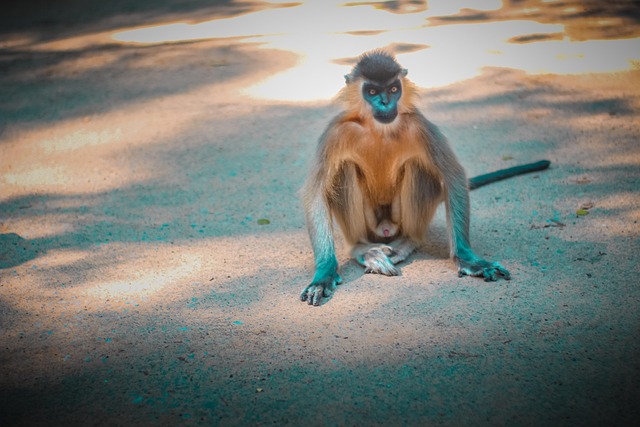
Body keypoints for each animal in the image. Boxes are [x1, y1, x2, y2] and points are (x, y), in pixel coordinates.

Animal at [300, 50, 550, 306]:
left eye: (393, 89)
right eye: (372, 92)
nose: (386, 102)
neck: (378, 128)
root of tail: (386, 230)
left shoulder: (420, 125)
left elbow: (454, 177)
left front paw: (469, 261)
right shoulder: (335, 132)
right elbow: (315, 193)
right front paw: (323, 275)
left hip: (399, 221)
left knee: (415, 166)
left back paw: (407, 242)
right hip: (371, 228)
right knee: (345, 168)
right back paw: (363, 249)